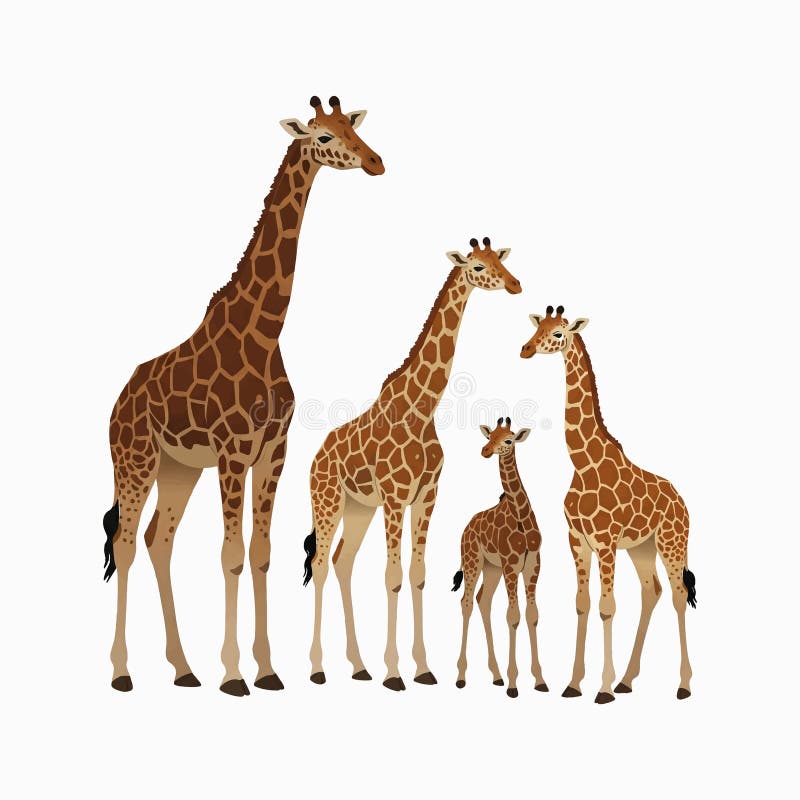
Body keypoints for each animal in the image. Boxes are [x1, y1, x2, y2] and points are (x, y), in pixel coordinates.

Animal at [101, 96, 384, 695]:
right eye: (324, 136)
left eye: (353, 126)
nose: (375, 161)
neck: (267, 332)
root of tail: (117, 402)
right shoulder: (234, 450)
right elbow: (231, 555)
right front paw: (234, 674)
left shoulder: (273, 450)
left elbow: (261, 554)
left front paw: (268, 669)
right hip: (134, 459)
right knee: (127, 542)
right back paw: (122, 670)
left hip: (178, 468)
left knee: (160, 541)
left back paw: (183, 668)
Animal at [302, 237, 521, 690]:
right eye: (477, 266)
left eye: (499, 260)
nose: (514, 284)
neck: (422, 409)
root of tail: (315, 459)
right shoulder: (394, 496)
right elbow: (393, 576)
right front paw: (394, 672)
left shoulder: (425, 497)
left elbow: (418, 575)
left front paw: (421, 668)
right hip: (328, 501)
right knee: (320, 563)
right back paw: (317, 668)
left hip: (359, 508)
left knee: (342, 562)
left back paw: (358, 665)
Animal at [451, 418, 548, 698]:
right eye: (489, 435)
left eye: (508, 439)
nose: (485, 451)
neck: (521, 516)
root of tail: (467, 528)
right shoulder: (511, 563)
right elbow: (513, 616)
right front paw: (514, 684)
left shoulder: (533, 564)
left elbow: (532, 614)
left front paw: (539, 680)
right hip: (472, 560)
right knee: (467, 603)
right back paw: (461, 677)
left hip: (491, 568)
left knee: (483, 601)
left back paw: (495, 676)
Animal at [520, 306, 697, 702]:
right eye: (538, 327)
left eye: (558, 334)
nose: (525, 349)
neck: (582, 464)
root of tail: (683, 502)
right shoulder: (577, 540)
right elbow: (583, 604)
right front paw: (573, 683)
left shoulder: (605, 540)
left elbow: (607, 607)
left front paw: (601, 688)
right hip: (642, 547)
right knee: (652, 592)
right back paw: (627, 680)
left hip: (672, 542)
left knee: (678, 595)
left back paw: (682, 684)